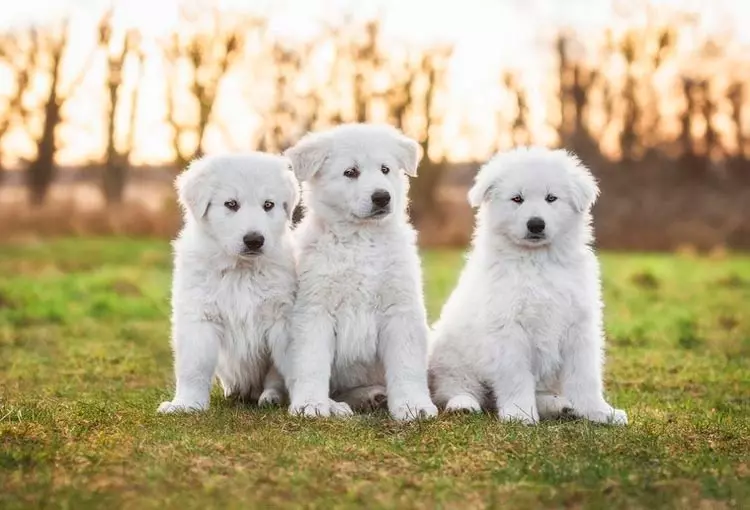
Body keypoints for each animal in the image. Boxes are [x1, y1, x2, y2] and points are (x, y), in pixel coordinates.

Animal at [159, 152, 302, 414]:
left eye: (268, 205)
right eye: (231, 204)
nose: (254, 240)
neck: (240, 270)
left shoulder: (283, 318)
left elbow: (296, 366)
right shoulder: (199, 316)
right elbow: (194, 367)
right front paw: (186, 404)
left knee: (274, 381)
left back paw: (271, 397)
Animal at [280, 121, 438, 420]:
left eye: (385, 169)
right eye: (350, 172)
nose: (382, 197)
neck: (361, 239)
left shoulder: (400, 310)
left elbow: (407, 366)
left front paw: (412, 405)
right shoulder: (314, 311)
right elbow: (311, 364)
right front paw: (311, 404)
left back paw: (372, 396)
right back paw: (338, 404)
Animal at [428, 145, 628, 424]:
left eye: (551, 198)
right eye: (517, 199)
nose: (536, 224)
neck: (537, 261)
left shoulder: (580, 327)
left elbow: (585, 376)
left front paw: (599, 412)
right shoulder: (508, 329)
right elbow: (516, 377)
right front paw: (520, 415)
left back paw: (560, 406)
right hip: (452, 358)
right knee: (457, 388)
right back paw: (463, 405)